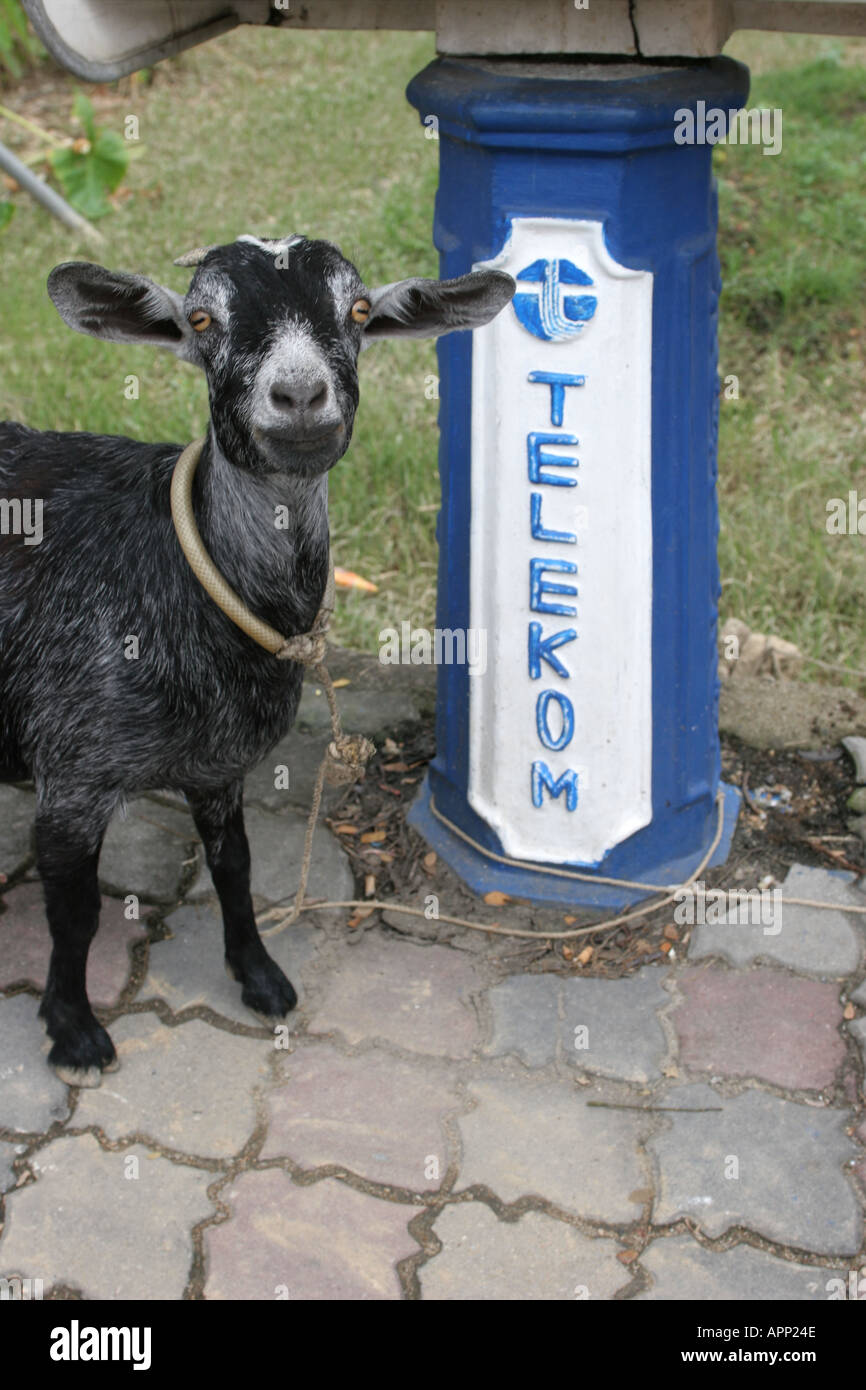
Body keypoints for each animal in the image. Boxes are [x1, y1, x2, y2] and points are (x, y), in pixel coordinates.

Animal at [0, 234, 515, 1086]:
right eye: (204, 319)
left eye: (359, 310)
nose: (300, 394)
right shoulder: (71, 774)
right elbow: (76, 914)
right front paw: (73, 1029)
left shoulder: (219, 767)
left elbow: (235, 867)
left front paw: (259, 974)